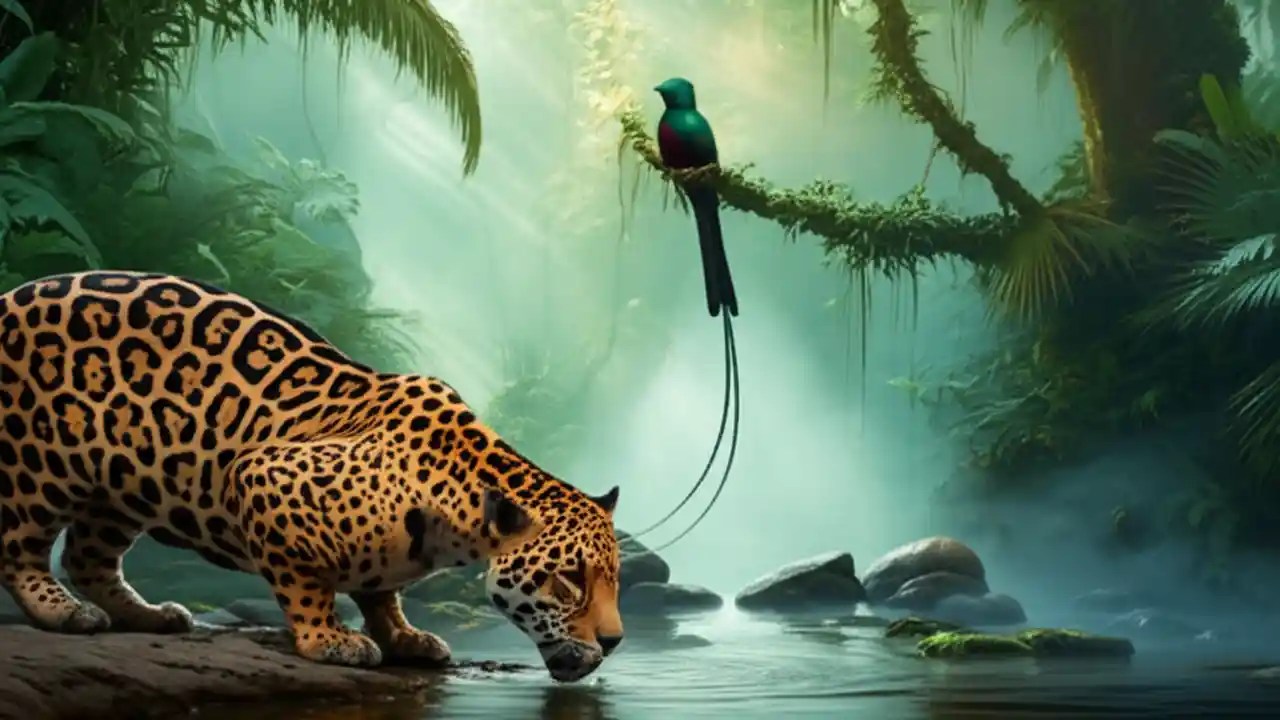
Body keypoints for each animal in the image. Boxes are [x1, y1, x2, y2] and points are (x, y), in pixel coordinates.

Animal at [0, 270, 624, 682]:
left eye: (614, 577)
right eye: (570, 579)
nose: (616, 641)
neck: (456, 508)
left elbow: (382, 593)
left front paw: (404, 636)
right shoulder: (260, 477)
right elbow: (306, 585)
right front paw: (330, 639)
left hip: (125, 484)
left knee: (87, 555)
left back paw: (148, 615)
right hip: (38, 461)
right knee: (21, 548)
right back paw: (62, 611)